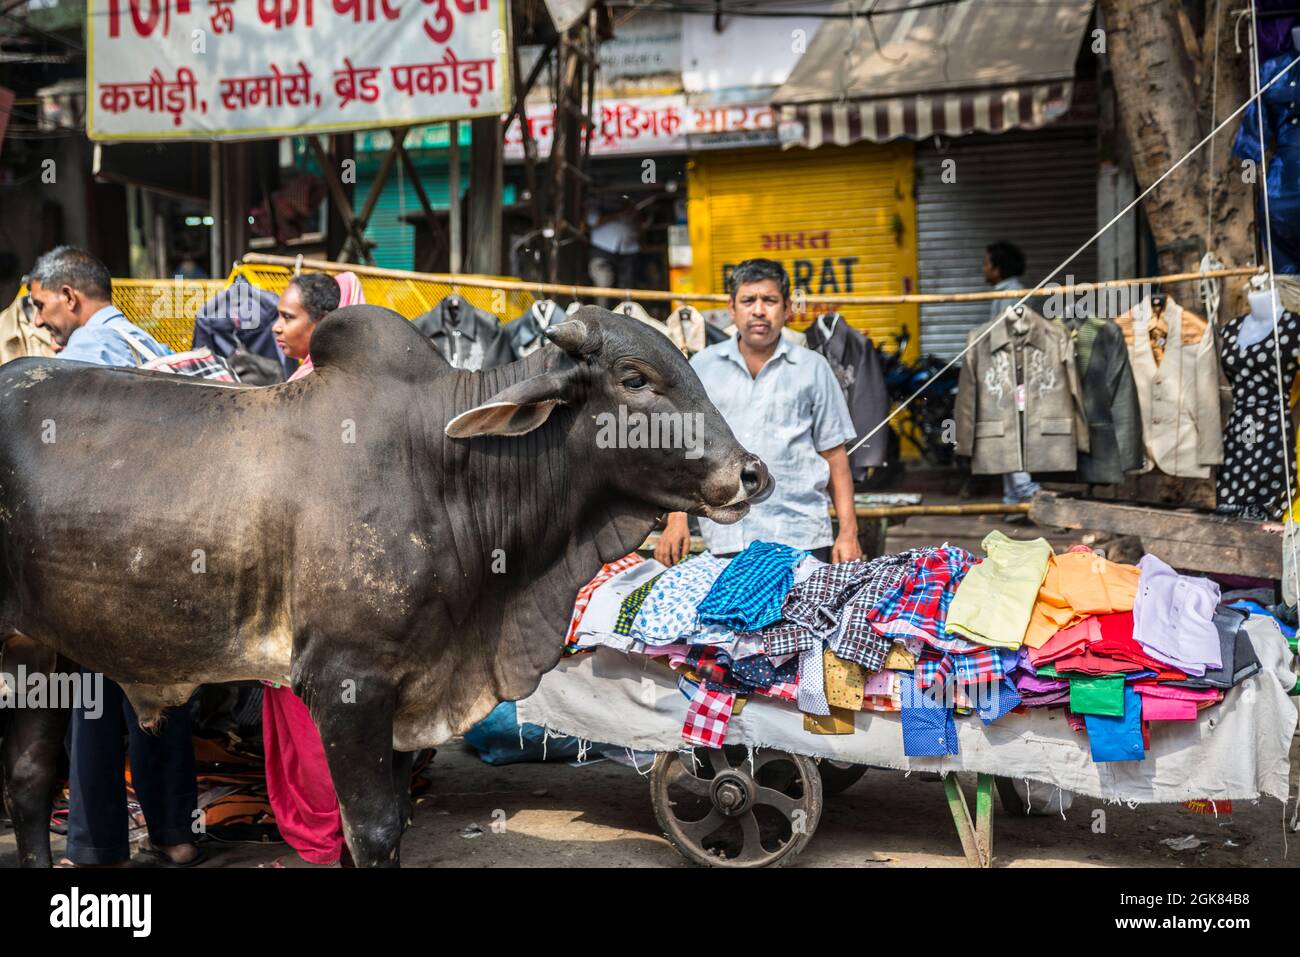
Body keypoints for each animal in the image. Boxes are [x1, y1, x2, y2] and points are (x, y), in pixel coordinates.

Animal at [0, 304, 771, 867]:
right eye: (635, 378)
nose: (750, 472)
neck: (450, 469)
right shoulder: (347, 686)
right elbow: (369, 831)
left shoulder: (410, 691)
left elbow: (391, 828)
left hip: (40, 653)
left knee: (31, 780)